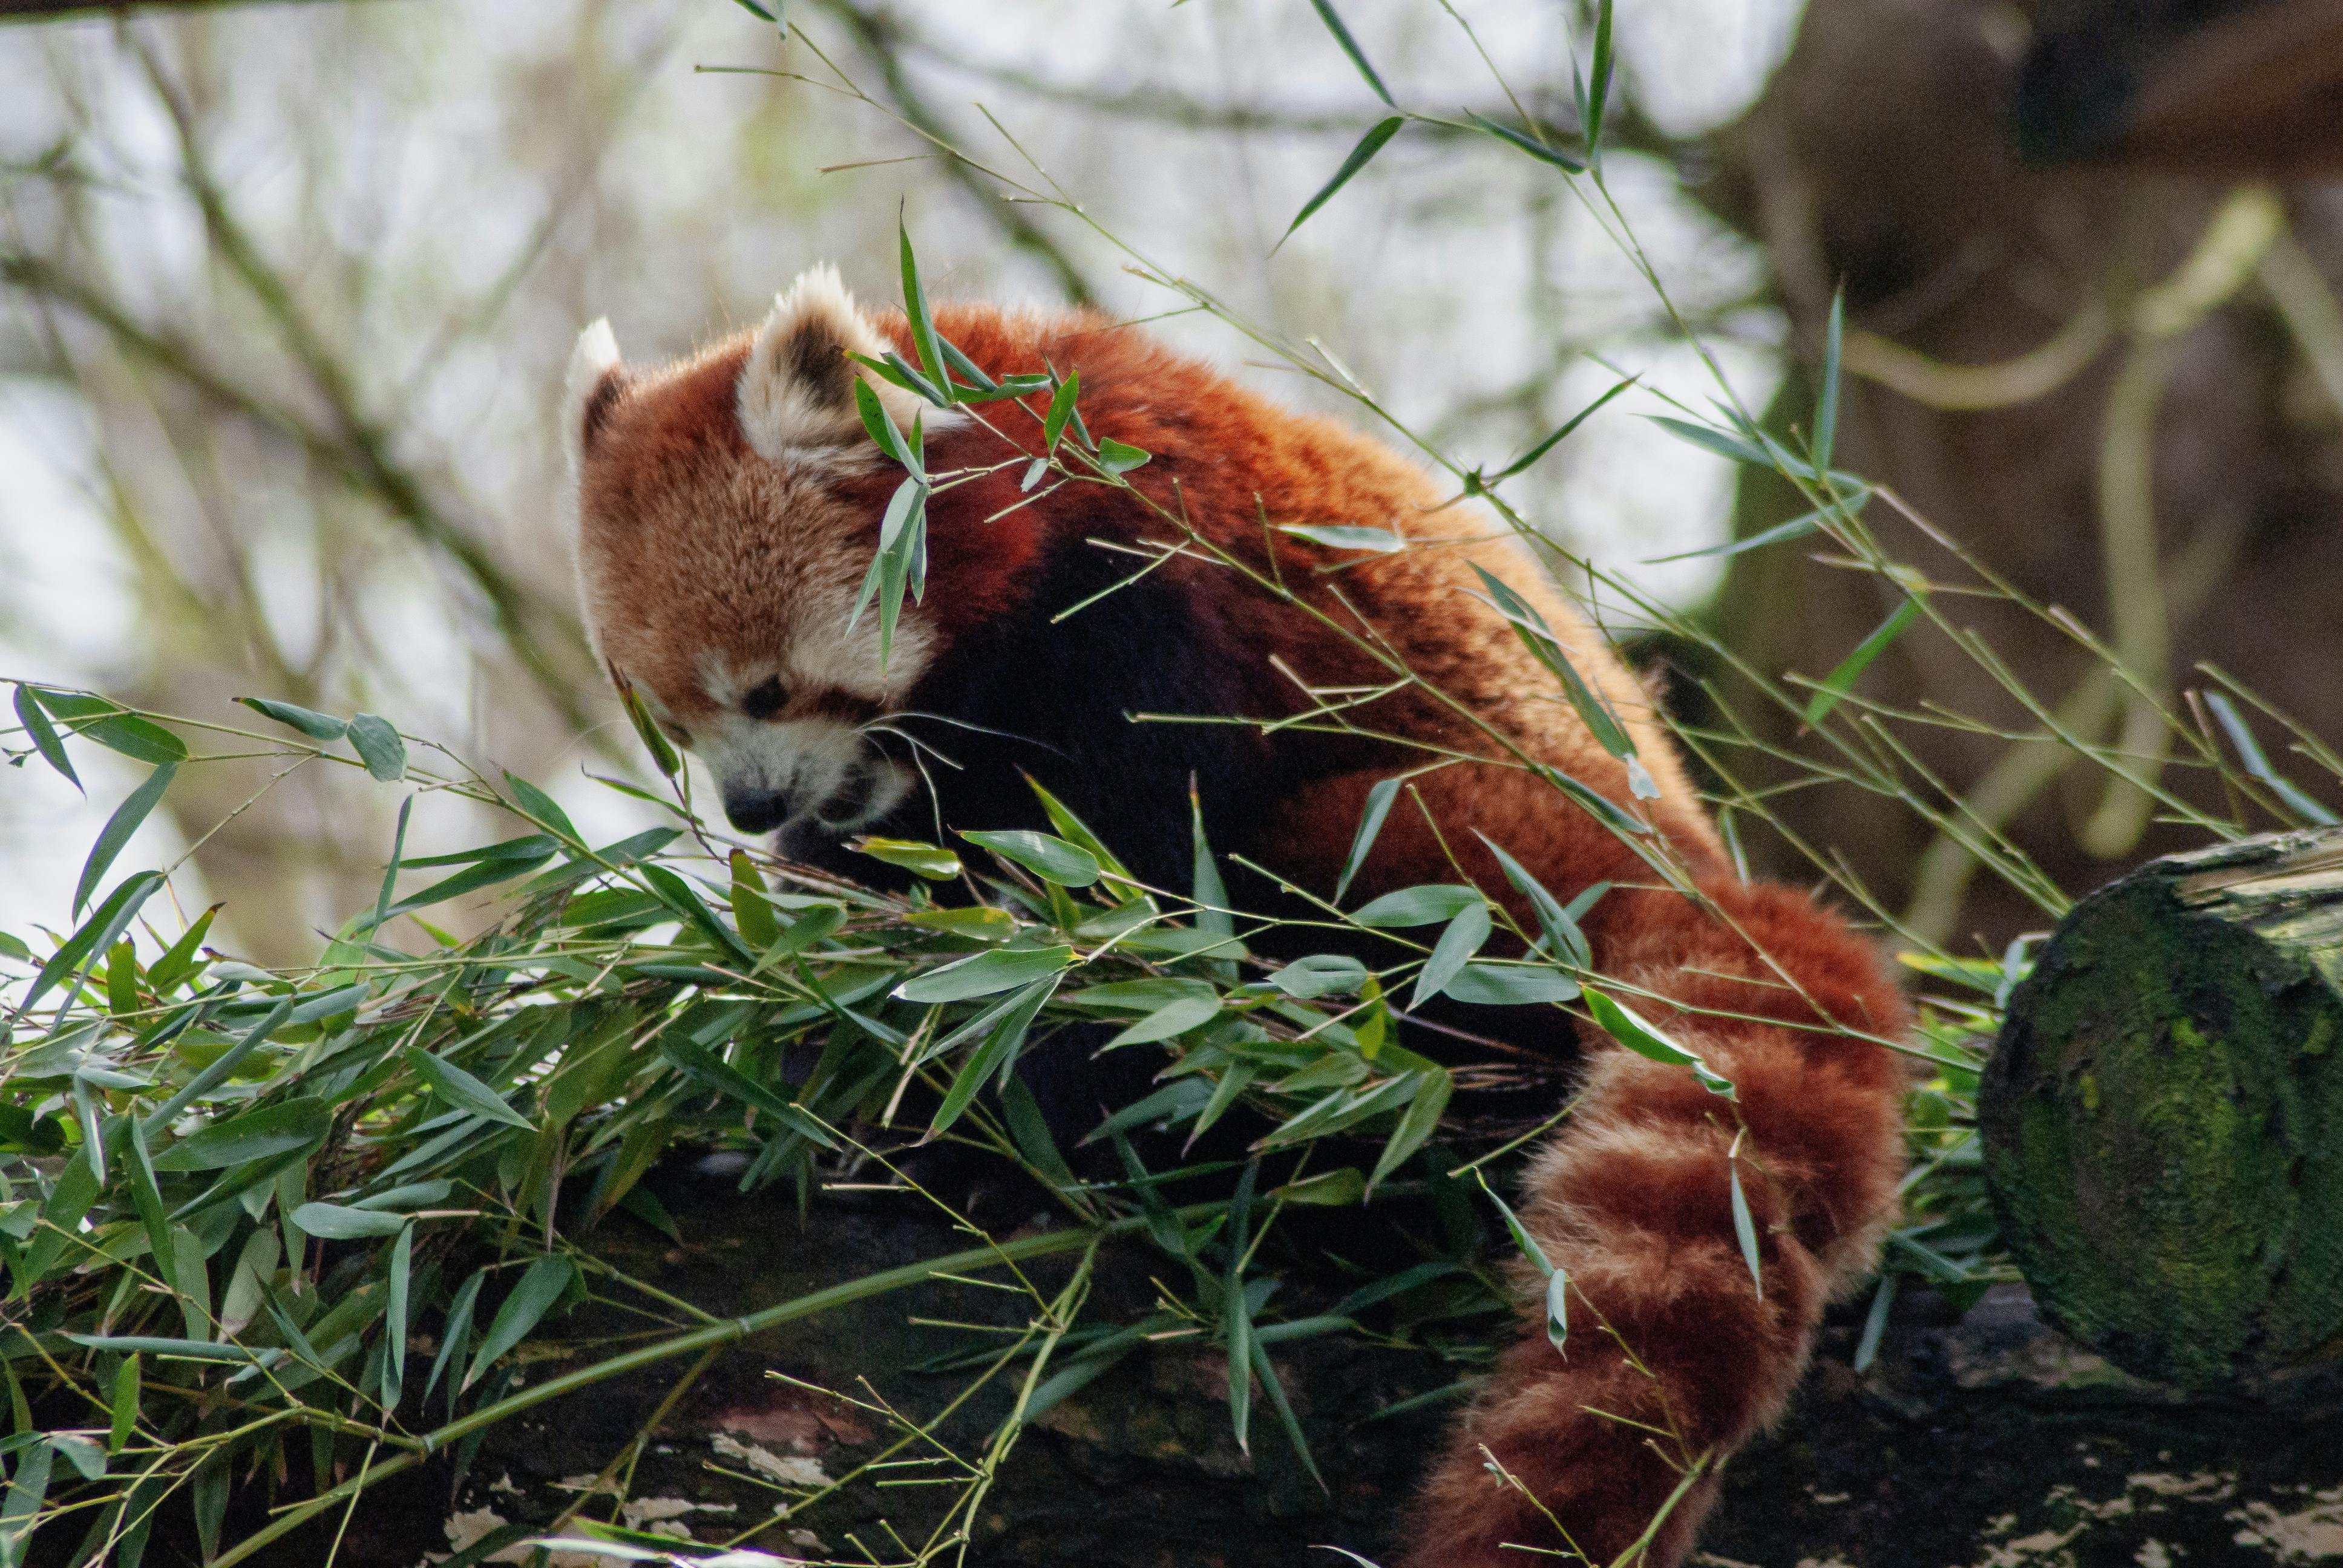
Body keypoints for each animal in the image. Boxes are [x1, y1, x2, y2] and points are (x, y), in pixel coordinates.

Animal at [562, 264, 1910, 1568]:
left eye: (767, 689)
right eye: (671, 719)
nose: (749, 806)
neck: (1031, 465)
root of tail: (1697, 872)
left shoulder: (1145, 611)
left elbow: (1128, 920)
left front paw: (957, 1143)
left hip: (1461, 852)